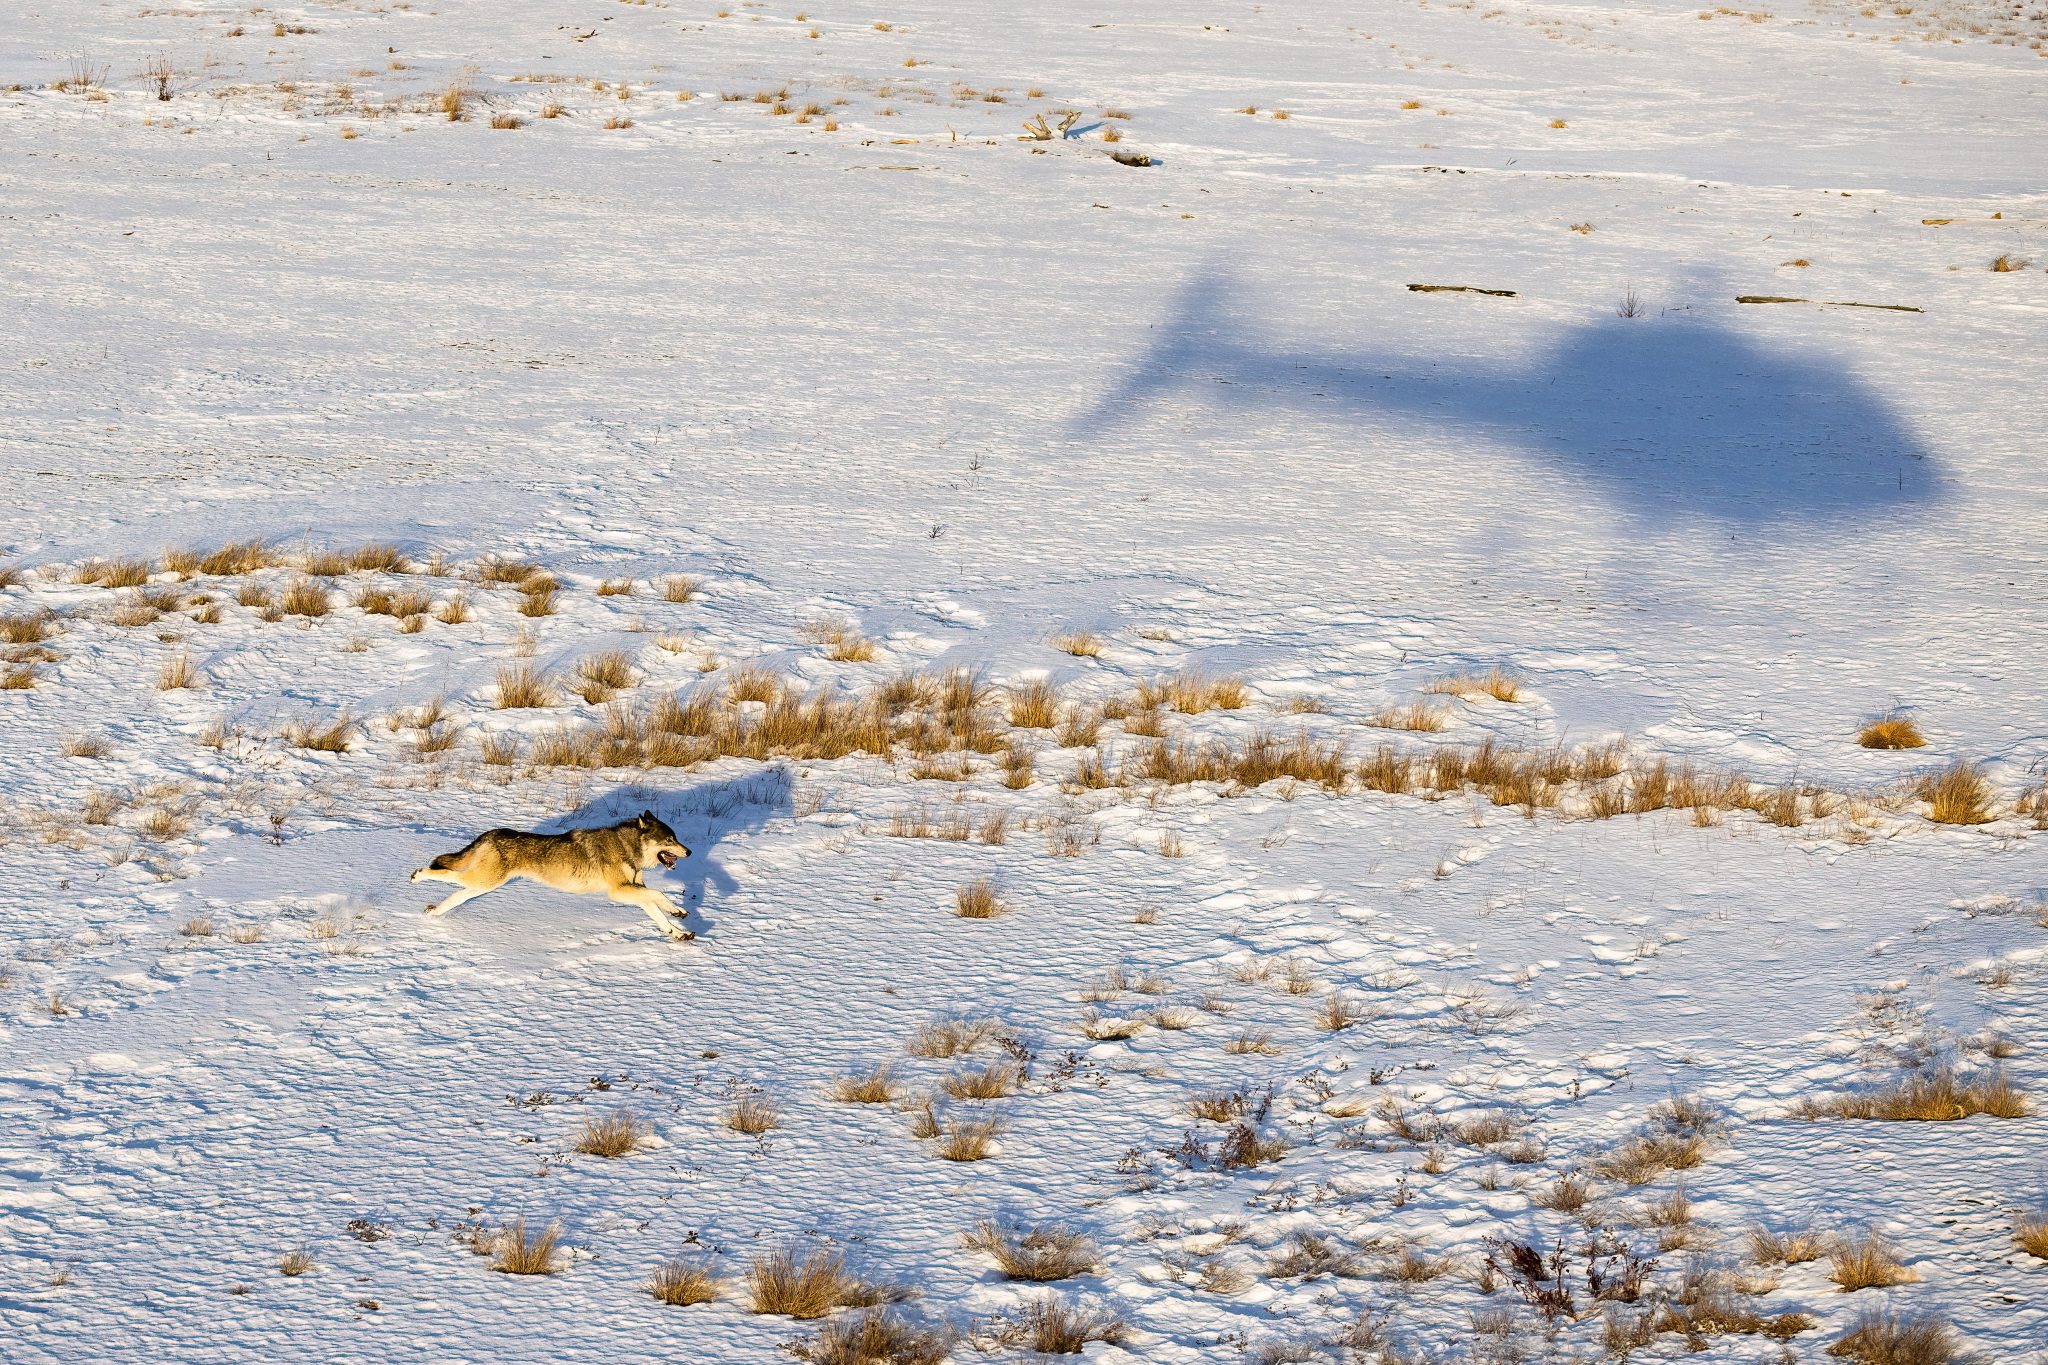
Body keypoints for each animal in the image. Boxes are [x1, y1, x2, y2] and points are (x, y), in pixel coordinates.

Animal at [410, 810, 695, 941]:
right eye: (669, 840)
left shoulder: (635, 890)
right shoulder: (619, 892)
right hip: (485, 881)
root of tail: (491, 833)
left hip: (481, 887)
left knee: (453, 895)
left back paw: (432, 913)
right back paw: (417, 876)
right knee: (440, 873)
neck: (627, 847)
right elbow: (658, 894)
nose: (690, 852)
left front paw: (678, 930)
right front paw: (677, 913)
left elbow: (657, 909)